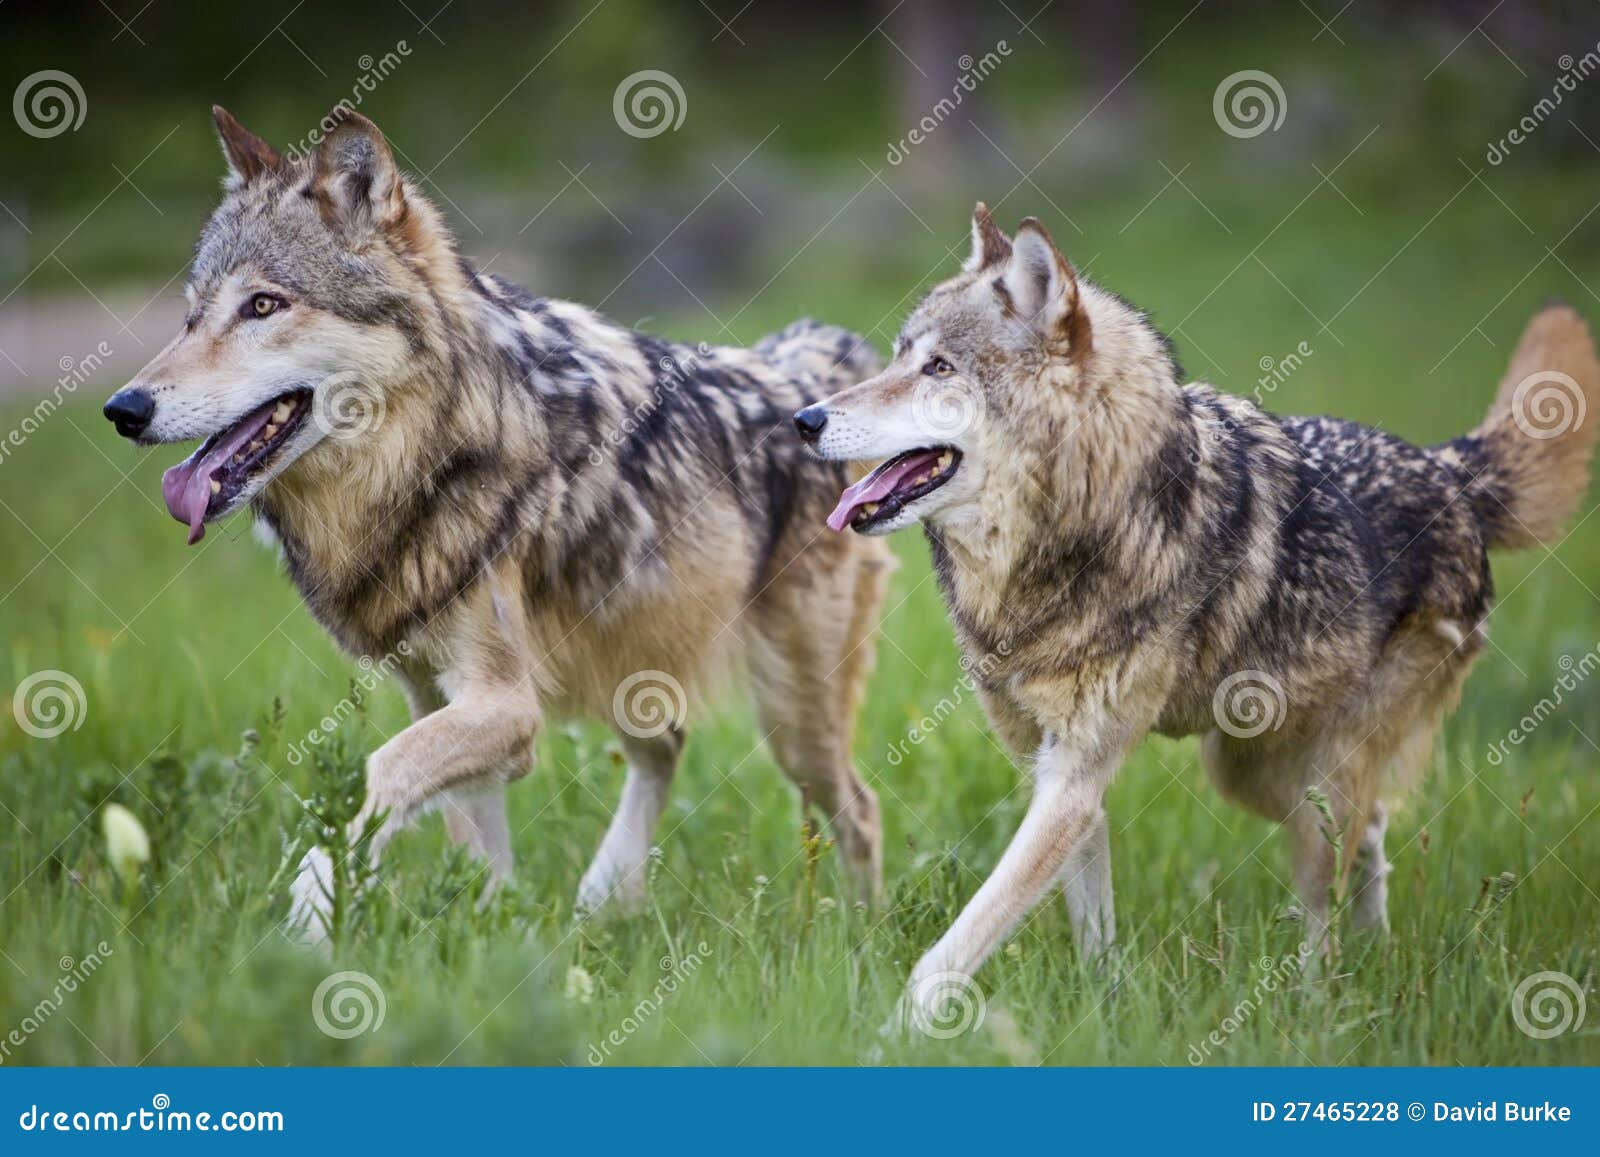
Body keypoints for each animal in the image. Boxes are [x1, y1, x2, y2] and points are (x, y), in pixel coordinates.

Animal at [103, 106, 892, 933]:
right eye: (191, 315)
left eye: (263, 305)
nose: (124, 409)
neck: (424, 457)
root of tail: (804, 376)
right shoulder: (436, 694)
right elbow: (471, 847)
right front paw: (490, 936)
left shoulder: (506, 707)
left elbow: (371, 779)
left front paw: (311, 918)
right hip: (646, 674)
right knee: (669, 745)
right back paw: (607, 897)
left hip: (792, 722)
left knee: (861, 810)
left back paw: (862, 933)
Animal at [795, 203, 1599, 1024]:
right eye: (899, 358)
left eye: (939, 369)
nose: (804, 418)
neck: (1079, 528)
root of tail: (1449, 470)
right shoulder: (1055, 770)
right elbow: (1091, 926)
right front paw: (1104, 1008)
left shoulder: (1074, 774)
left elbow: (957, 942)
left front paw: (889, 1031)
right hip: (1253, 769)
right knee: (1372, 830)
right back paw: (1374, 954)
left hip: (1303, 782)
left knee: (1328, 895)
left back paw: (1317, 1003)